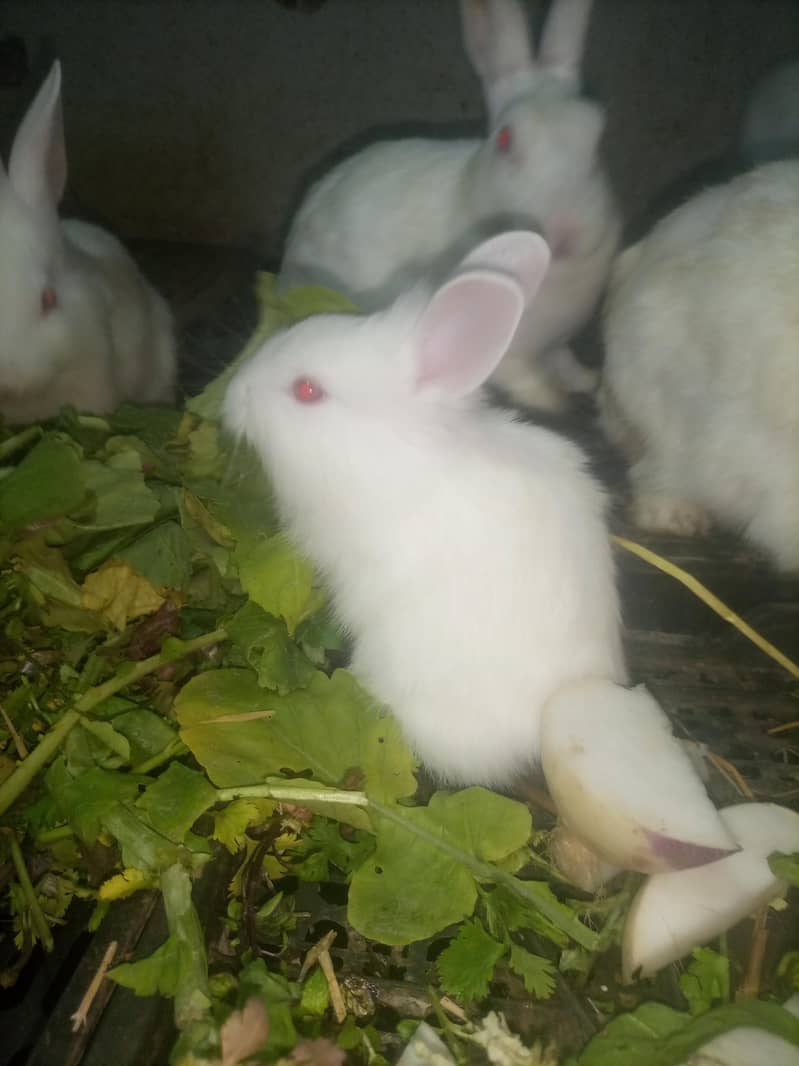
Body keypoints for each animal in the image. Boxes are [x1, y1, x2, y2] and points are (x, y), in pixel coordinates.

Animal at [279, 0, 620, 413]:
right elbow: (530, 382)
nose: (567, 231)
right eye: (504, 139)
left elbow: (566, 361)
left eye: (599, 142)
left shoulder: (557, 343)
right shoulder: (510, 355)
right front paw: (556, 405)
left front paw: (588, 380)